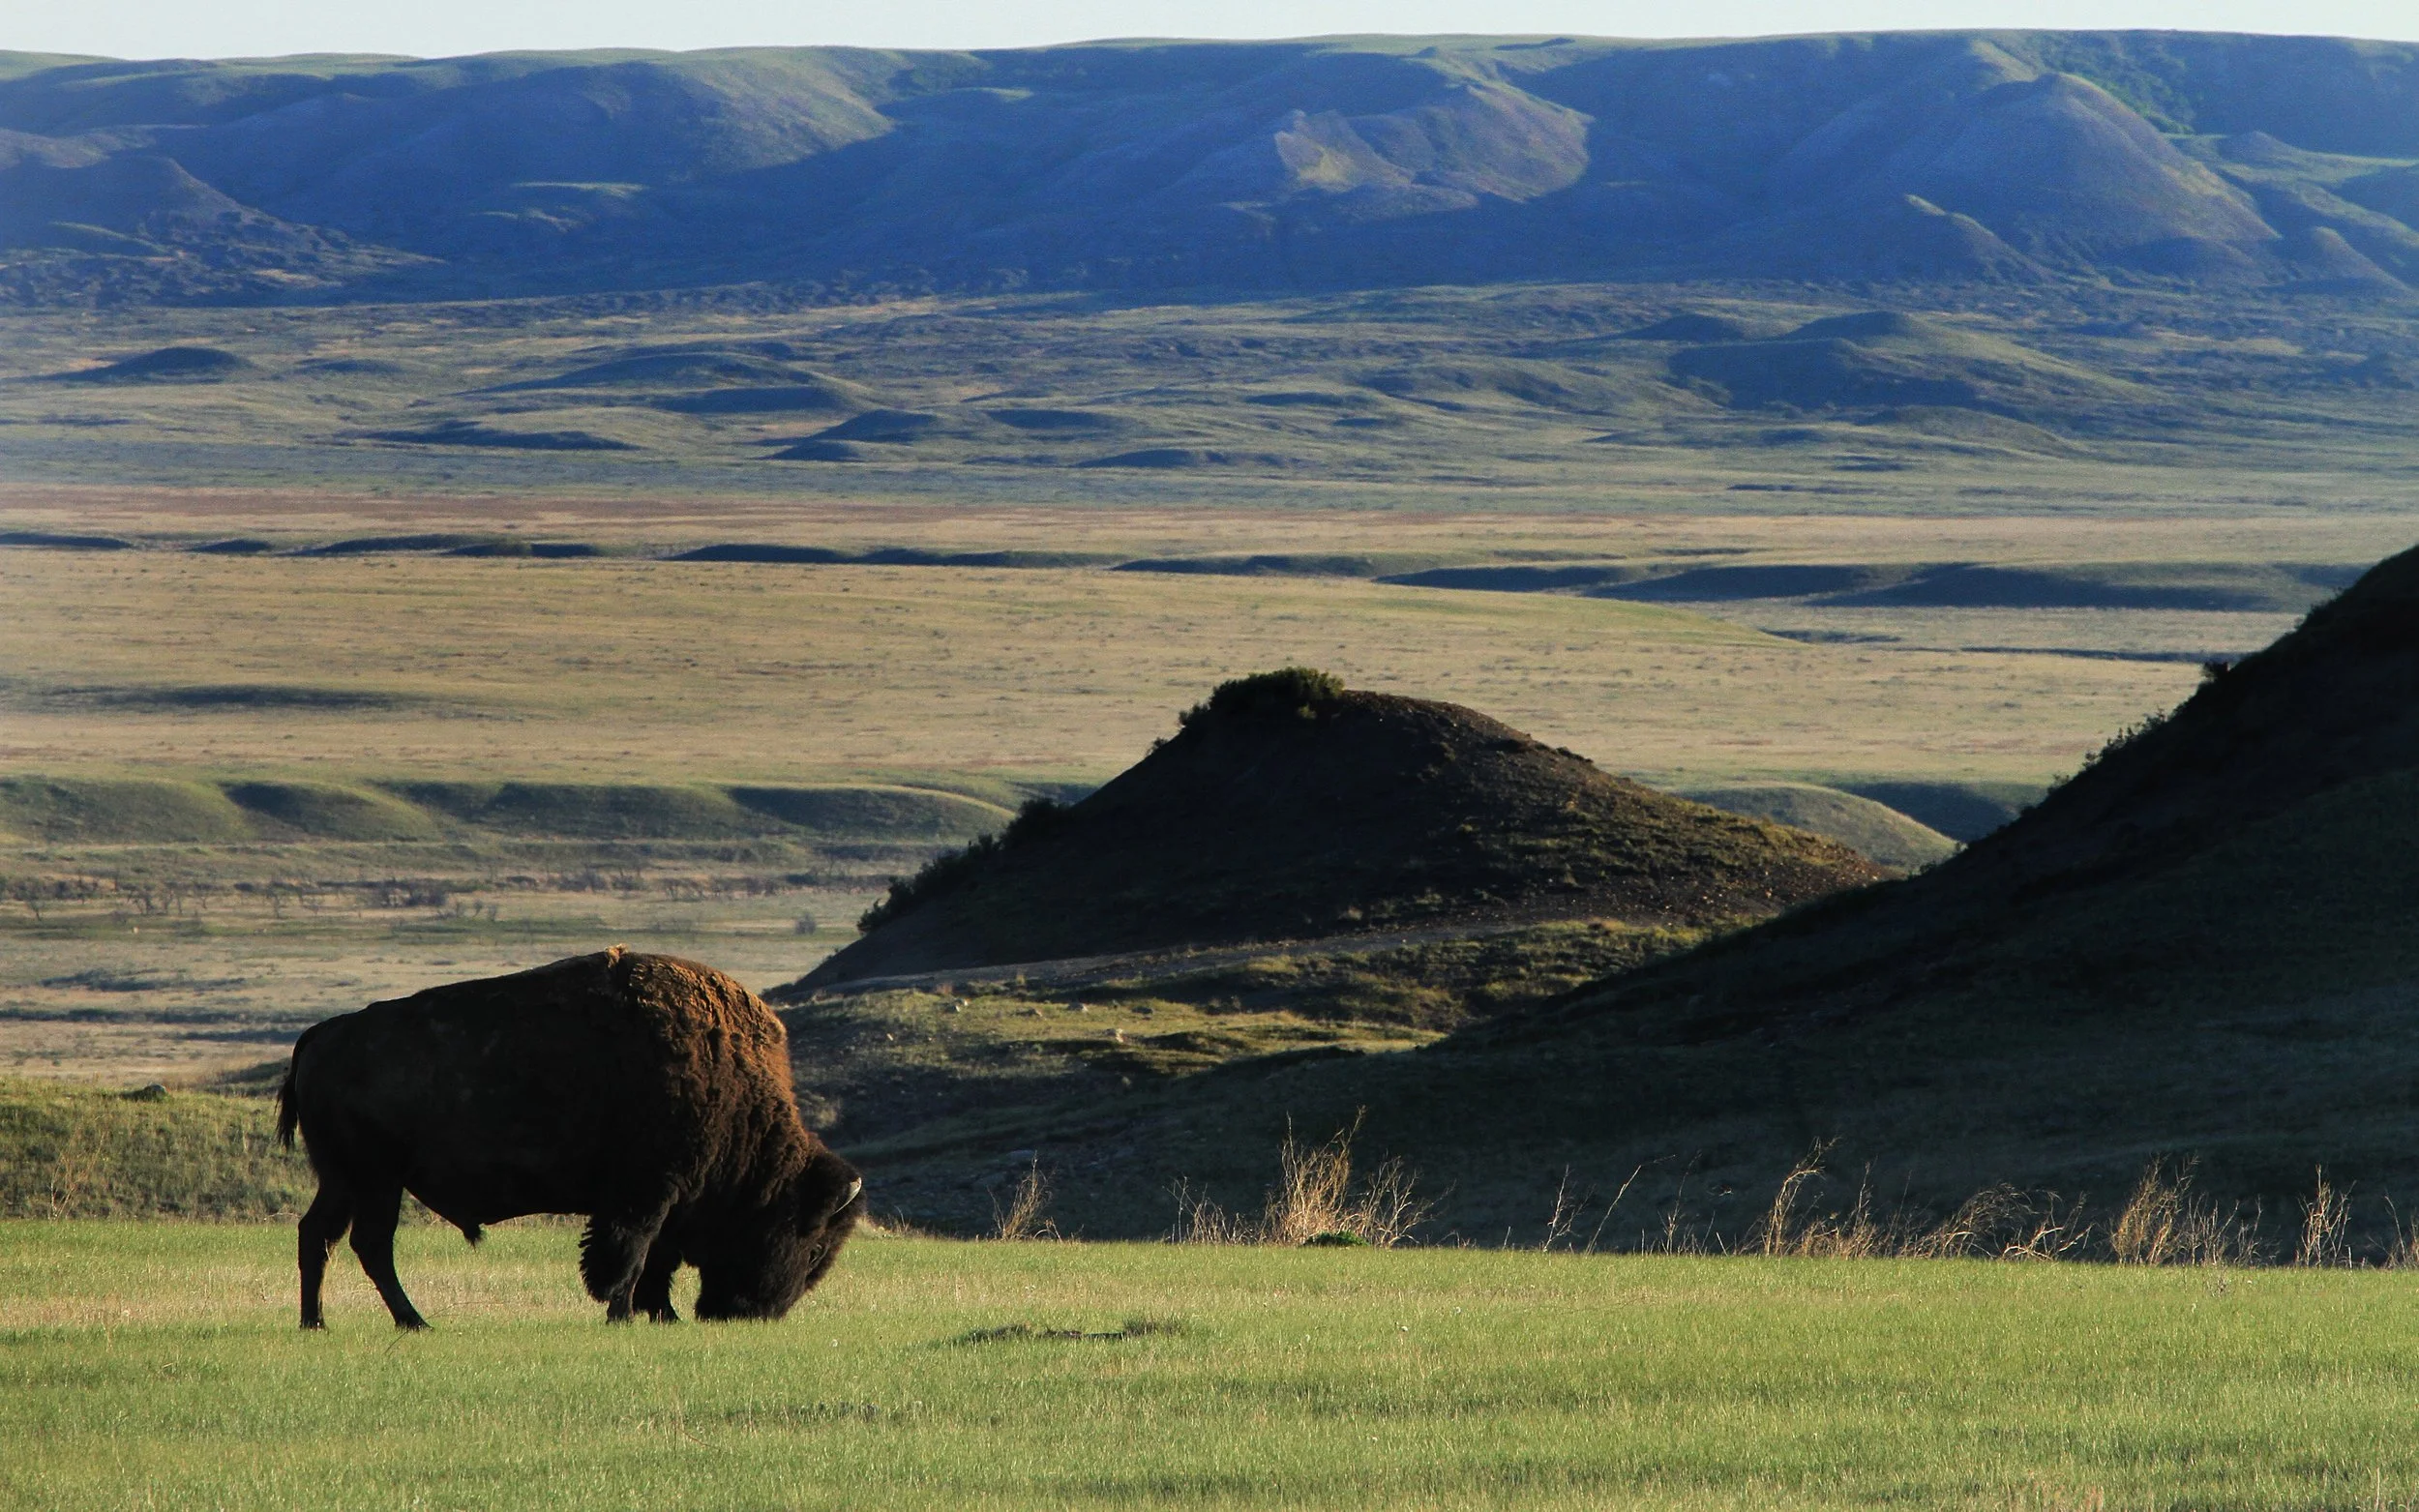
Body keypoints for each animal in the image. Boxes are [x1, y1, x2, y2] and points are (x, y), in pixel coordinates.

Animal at [276, 946, 861, 1329]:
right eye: (812, 1247)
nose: (754, 1313)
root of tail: (321, 1035)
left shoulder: (666, 1196)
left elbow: (659, 1259)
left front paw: (661, 1315)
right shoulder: (644, 1195)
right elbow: (632, 1254)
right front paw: (623, 1314)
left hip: (345, 1180)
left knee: (319, 1235)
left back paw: (317, 1322)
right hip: (377, 1180)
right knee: (369, 1243)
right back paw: (413, 1322)